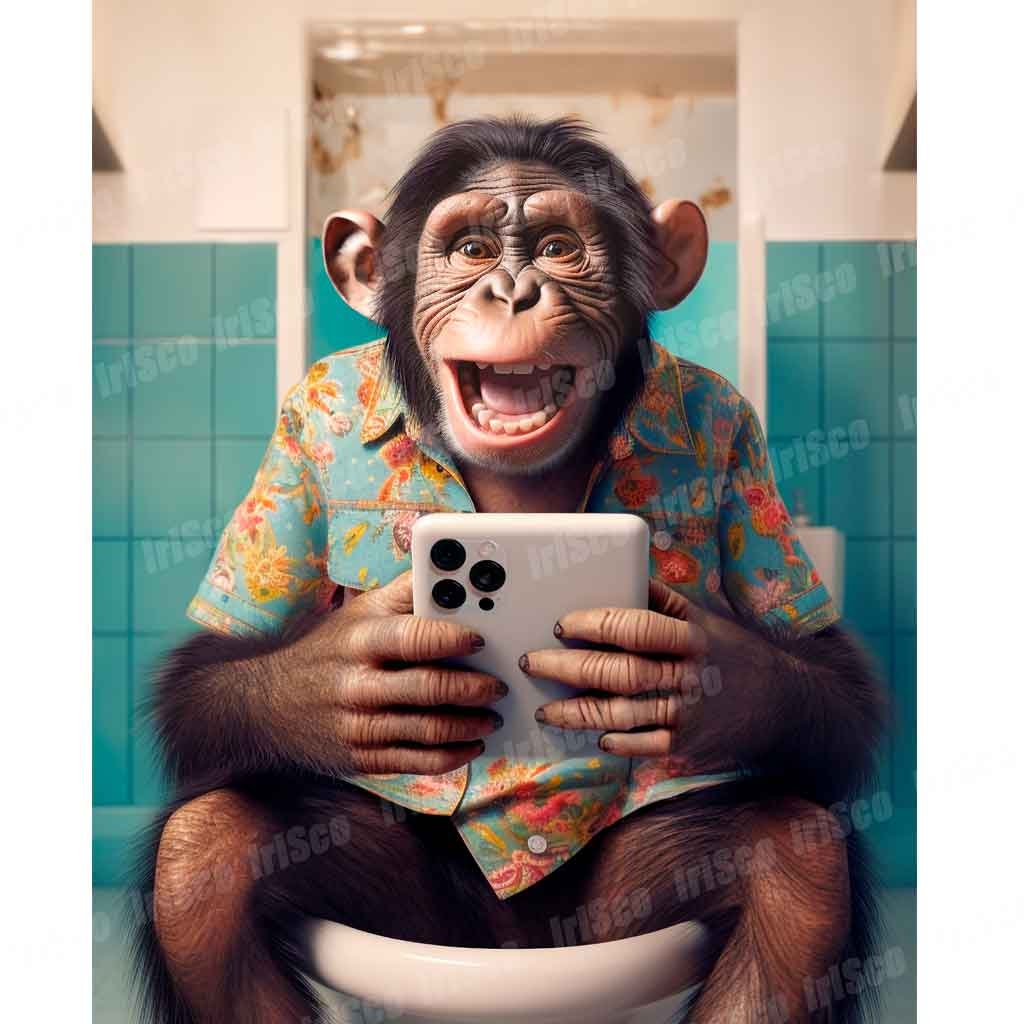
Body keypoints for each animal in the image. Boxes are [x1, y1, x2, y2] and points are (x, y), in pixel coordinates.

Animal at [129, 117, 886, 1024]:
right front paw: (345, 680)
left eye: (560, 247)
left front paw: (693, 678)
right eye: (472, 249)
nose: (515, 292)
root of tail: (511, 957)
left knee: (794, 866)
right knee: (204, 859)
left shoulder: (734, 422)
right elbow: (216, 666)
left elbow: (826, 675)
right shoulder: (299, 413)